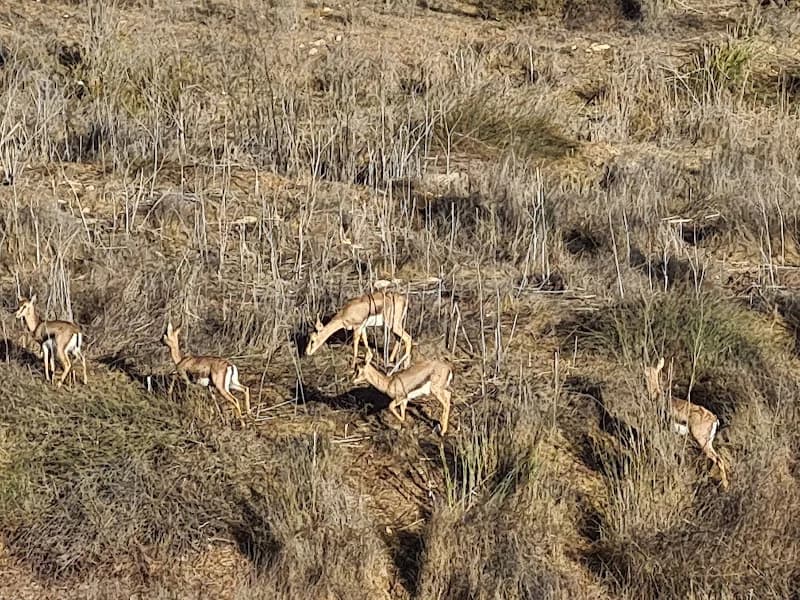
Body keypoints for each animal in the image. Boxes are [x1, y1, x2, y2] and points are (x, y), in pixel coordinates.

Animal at [644, 357, 729, 489]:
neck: (657, 397)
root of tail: (715, 419)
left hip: (702, 440)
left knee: (718, 459)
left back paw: (724, 486)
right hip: (708, 442)